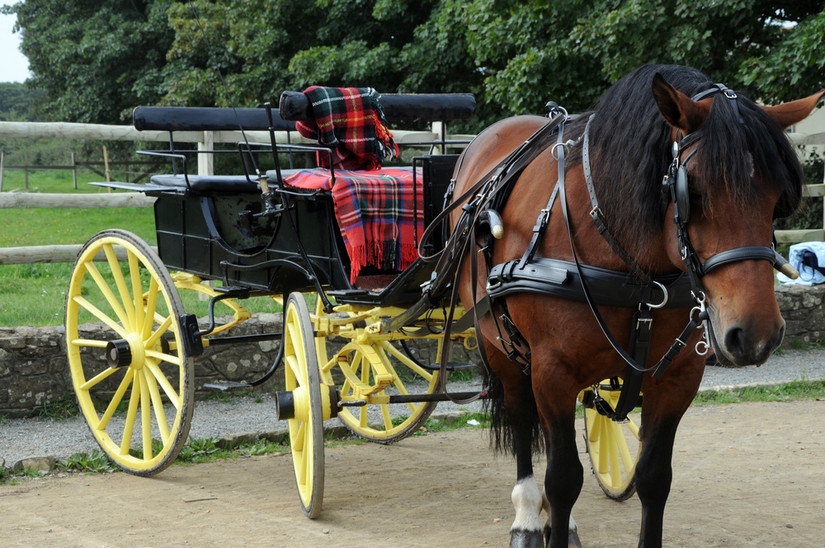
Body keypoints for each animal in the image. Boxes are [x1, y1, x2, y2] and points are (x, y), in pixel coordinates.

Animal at [446, 64, 823, 547]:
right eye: (694, 191)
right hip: (500, 346)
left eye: (778, 199)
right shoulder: (552, 370)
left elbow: (653, 478)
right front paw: (546, 512)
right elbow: (563, 478)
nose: (756, 334)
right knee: (523, 418)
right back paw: (529, 515)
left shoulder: (678, 378)